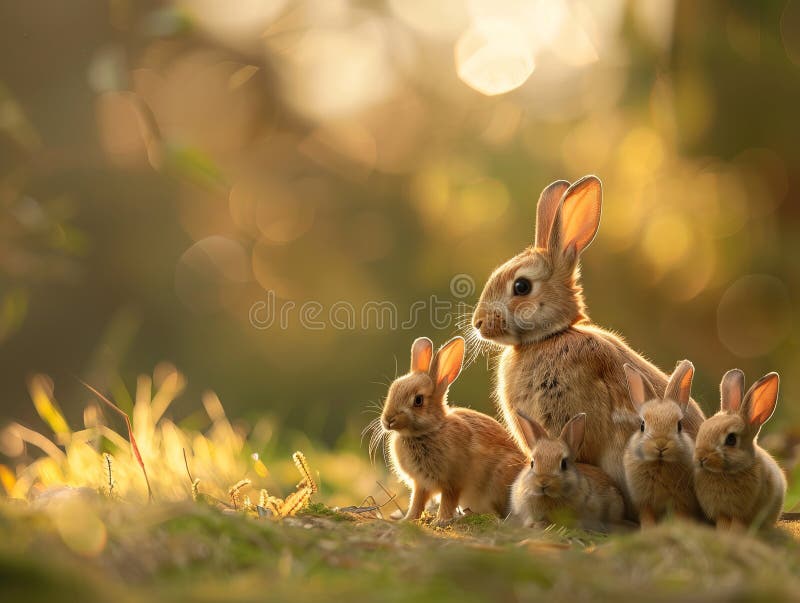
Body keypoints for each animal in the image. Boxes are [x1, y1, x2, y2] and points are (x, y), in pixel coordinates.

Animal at [381, 336, 527, 524]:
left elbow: (447, 501)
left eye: (418, 400)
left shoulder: (452, 482)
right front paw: (408, 520)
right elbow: (417, 502)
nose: (387, 420)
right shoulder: (421, 483)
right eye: (392, 389)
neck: (429, 430)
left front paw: (441, 521)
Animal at [622, 360, 702, 526]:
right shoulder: (644, 501)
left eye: (679, 425)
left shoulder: (682, 500)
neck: (660, 463)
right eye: (642, 425)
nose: (660, 445)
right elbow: (647, 516)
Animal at [694, 369, 786, 531]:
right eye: (702, 429)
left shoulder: (742, 514)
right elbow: (722, 524)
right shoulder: (721, 512)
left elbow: (738, 525)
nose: (701, 457)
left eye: (731, 440)